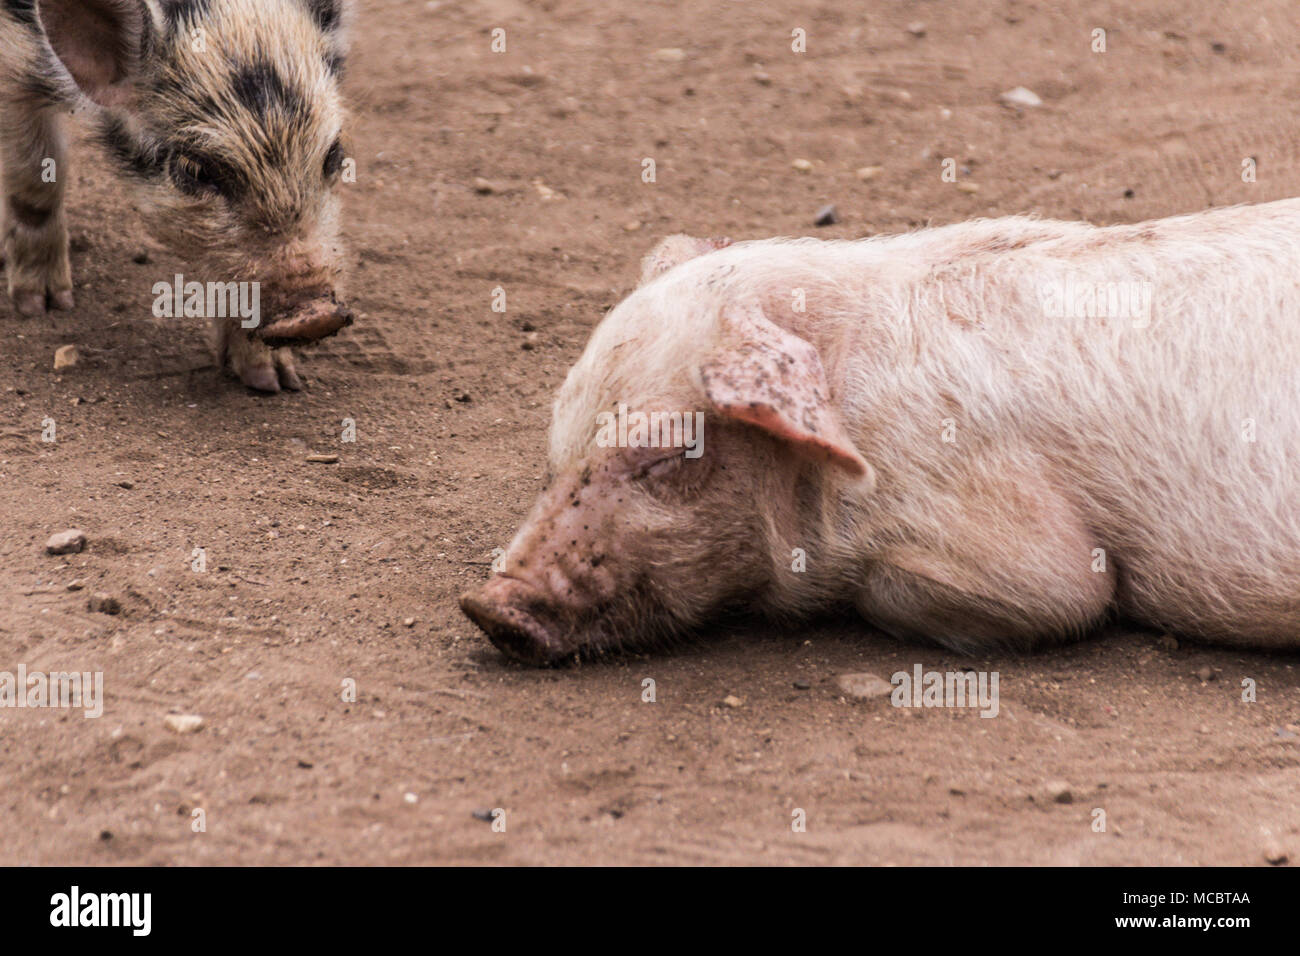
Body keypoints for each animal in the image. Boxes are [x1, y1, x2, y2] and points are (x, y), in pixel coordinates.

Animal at [0, 0, 354, 392]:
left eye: (334, 153)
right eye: (195, 169)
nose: (316, 316)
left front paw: (276, 382)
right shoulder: (11, 56)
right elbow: (34, 181)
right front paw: (43, 306)